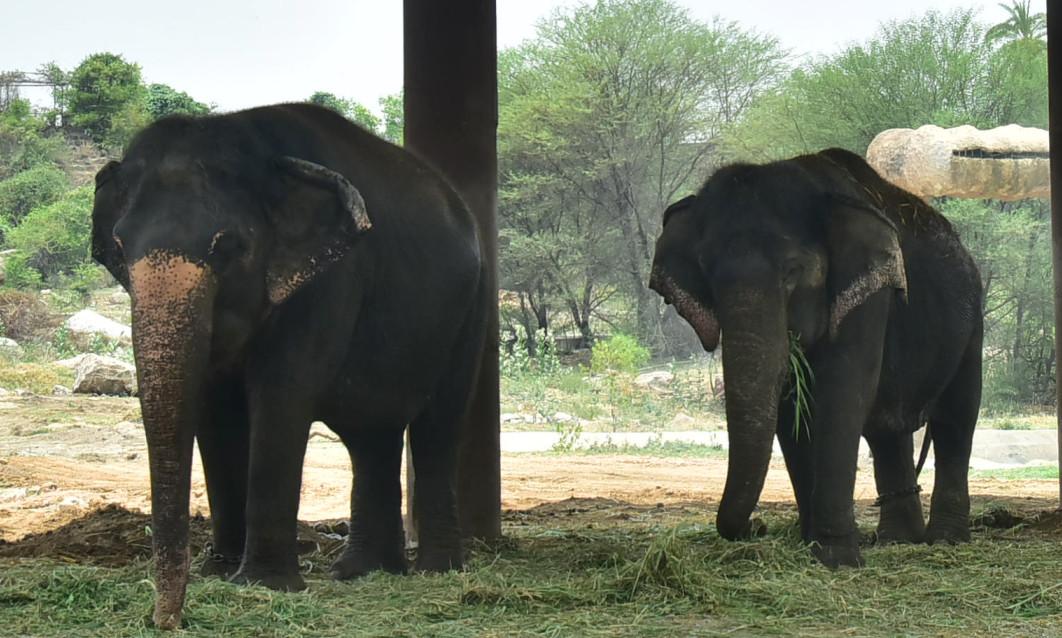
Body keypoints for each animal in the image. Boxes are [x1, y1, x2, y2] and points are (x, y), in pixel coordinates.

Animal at [91, 103, 488, 628]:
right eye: (119, 246)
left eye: (227, 247)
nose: (165, 622)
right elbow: (215, 412)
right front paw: (222, 572)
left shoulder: (330, 281)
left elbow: (282, 396)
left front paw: (262, 584)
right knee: (372, 436)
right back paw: (362, 572)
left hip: (469, 310)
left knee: (436, 427)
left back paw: (436, 571)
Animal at [649, 148, 982, 568]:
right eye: (706, 271)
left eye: (792, 271)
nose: (758, 526)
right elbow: (791, 410)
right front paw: (812, 546)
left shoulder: (868, 295)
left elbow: (842, 393)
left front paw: (837, 559)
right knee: (888, 432)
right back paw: (899, 541)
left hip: (971, 323)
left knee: (957, 415)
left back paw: (945, 542)